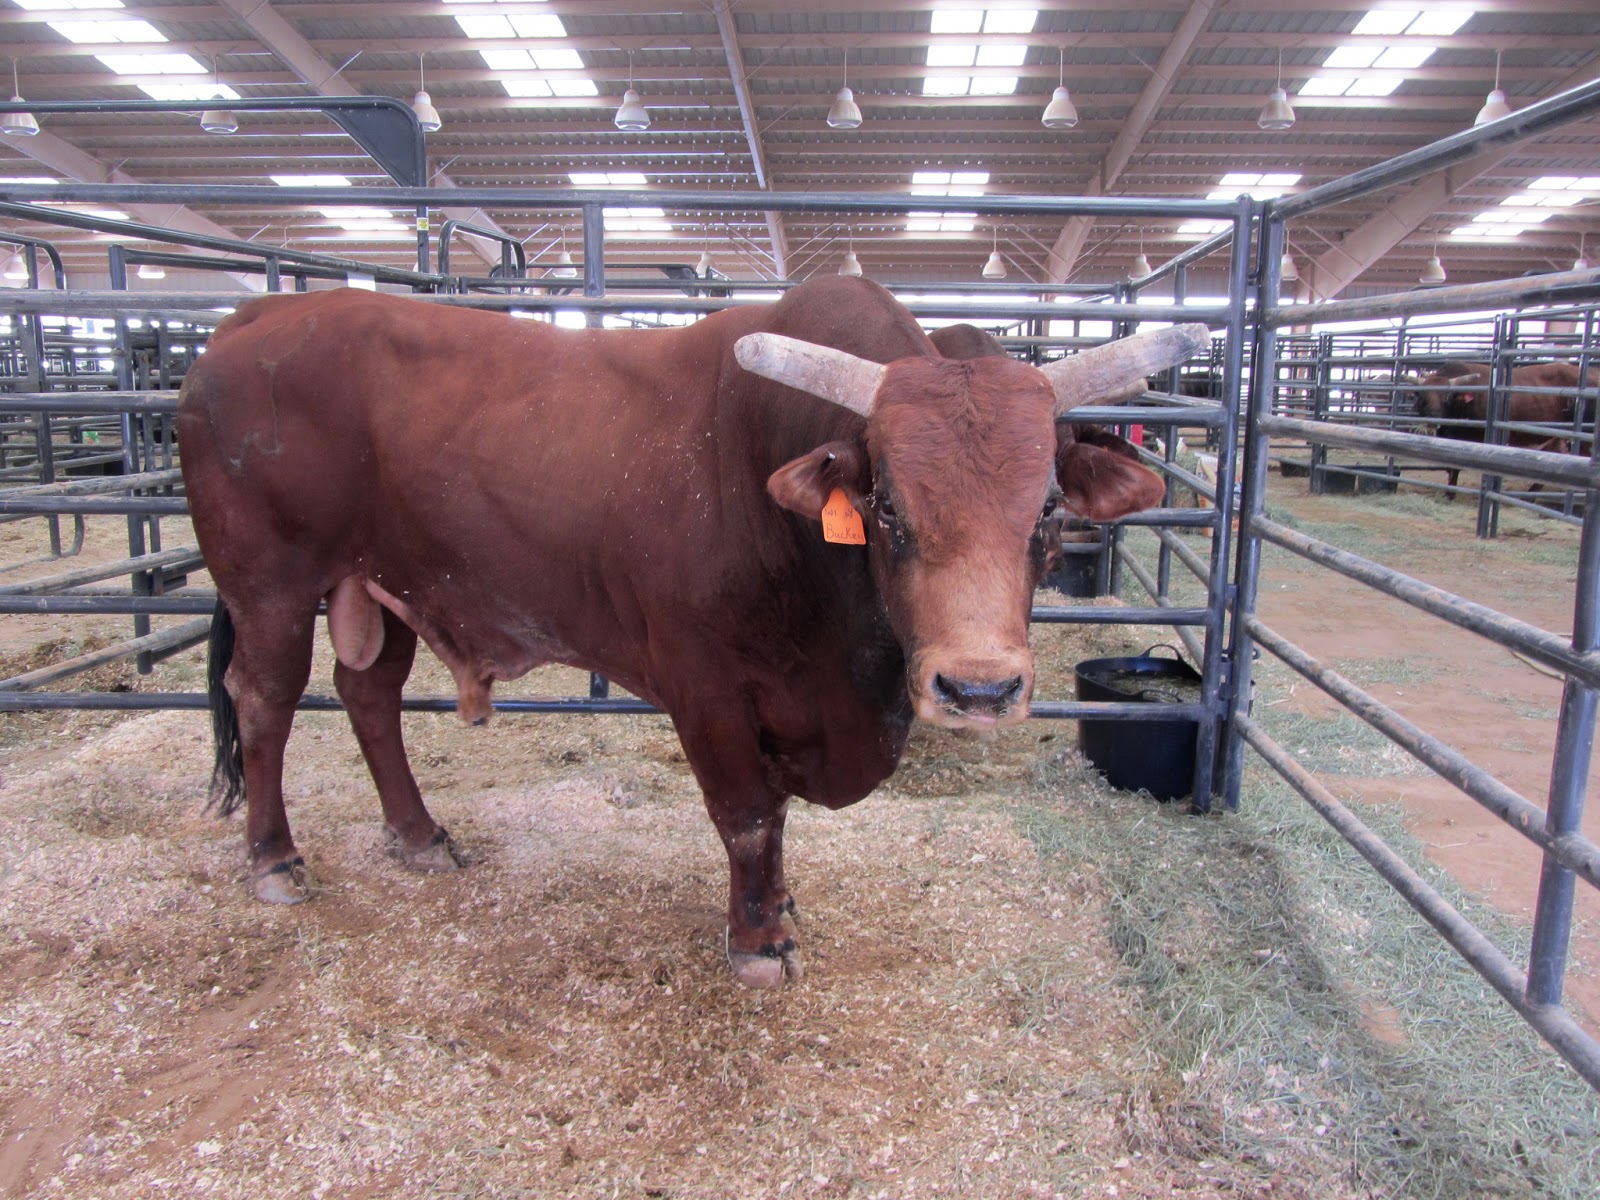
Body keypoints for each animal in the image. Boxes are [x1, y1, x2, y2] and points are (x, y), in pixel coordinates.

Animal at [178, 276, 1207, 988]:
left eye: (1048, 511)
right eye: (886, 506)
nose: (979, 688)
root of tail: (255, 316)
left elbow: (776, 818)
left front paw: (781, 902)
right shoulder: (705, 686)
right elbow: (748, 814)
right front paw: (759, 937)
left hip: (379, 582)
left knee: (369, 694)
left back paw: (420, 833)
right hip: (271, 585)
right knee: (263, 702)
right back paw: (275, 859)